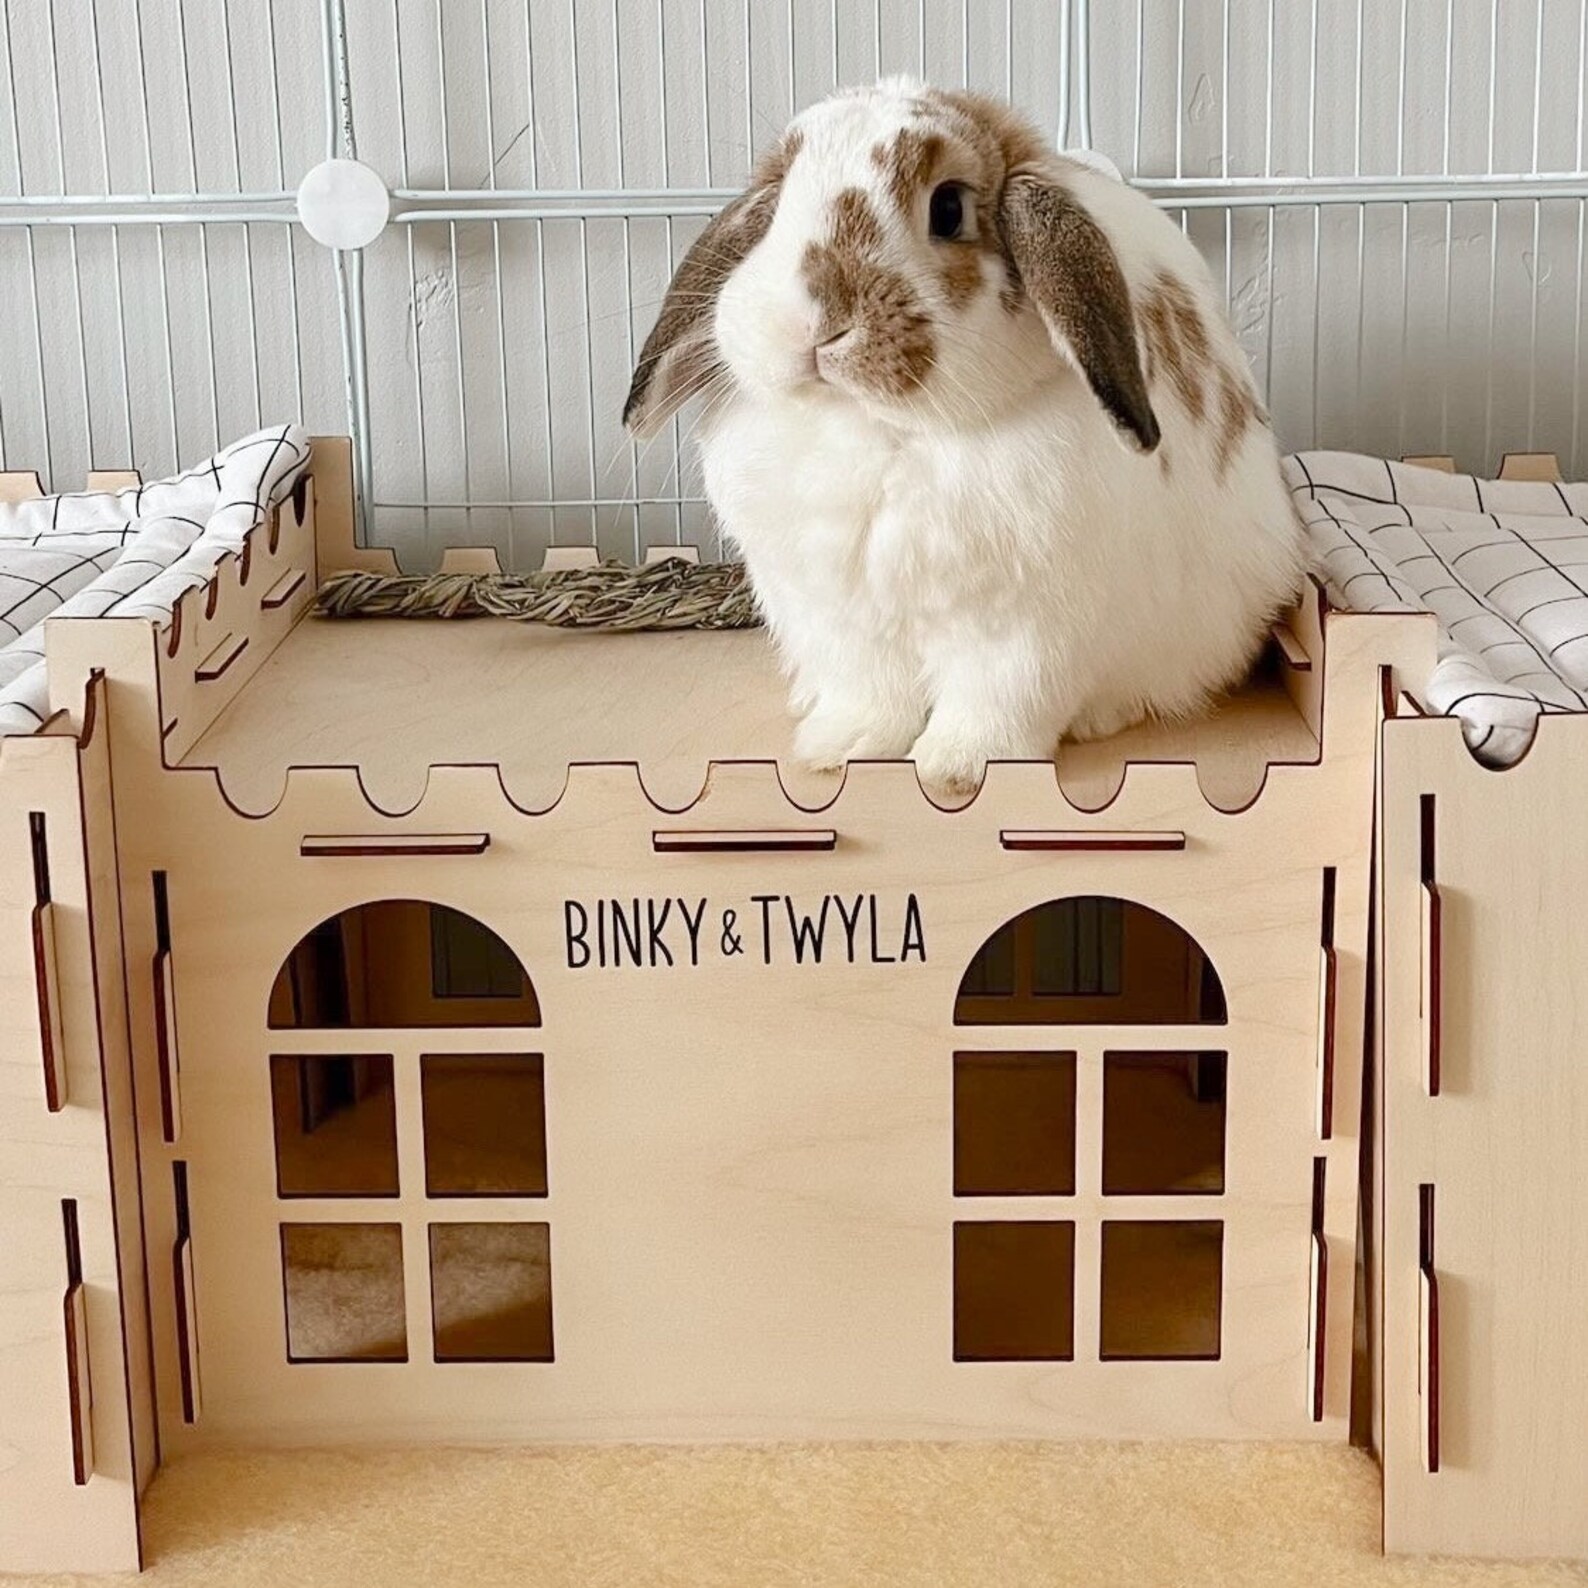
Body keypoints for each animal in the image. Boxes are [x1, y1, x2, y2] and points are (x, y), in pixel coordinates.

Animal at [623, 78, 1305, 795]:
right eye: (779, 199)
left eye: (948, 209)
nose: (815, 319)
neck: (880, 432)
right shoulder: (845, 625)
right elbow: (870, 695)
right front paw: (840, 747)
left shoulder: (1028, 634)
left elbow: (998, 701)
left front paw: (958, 770)